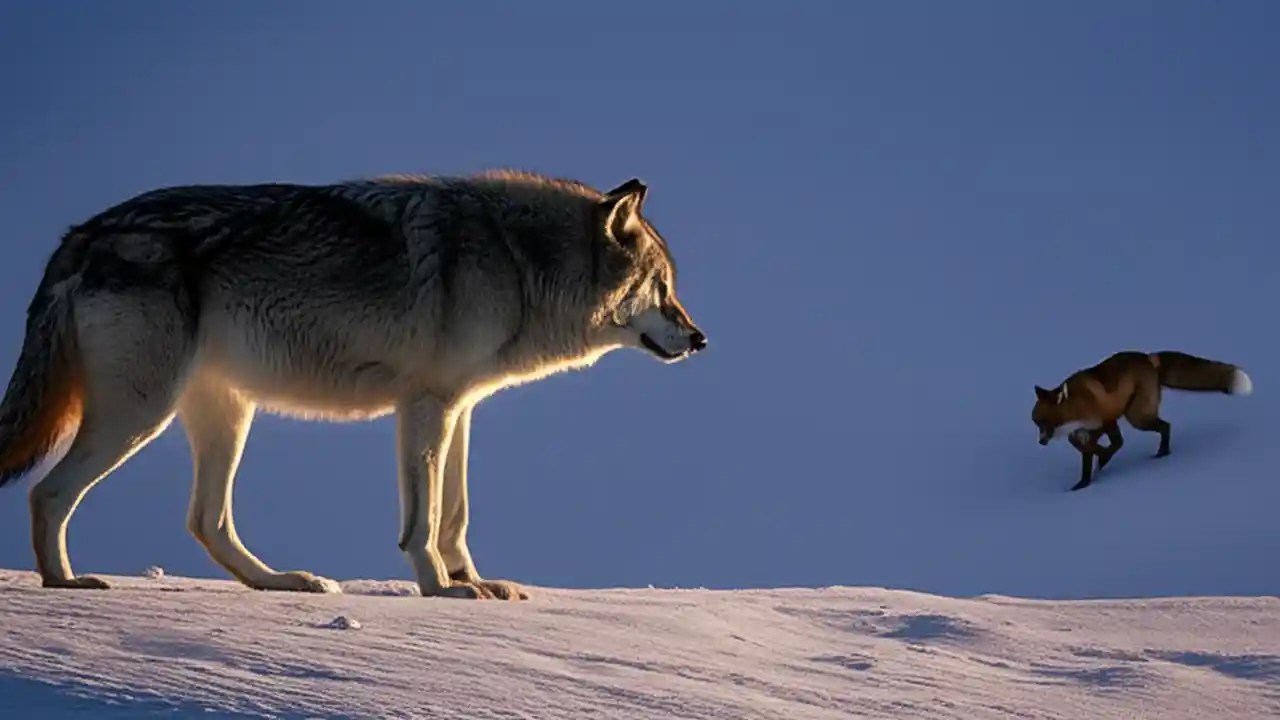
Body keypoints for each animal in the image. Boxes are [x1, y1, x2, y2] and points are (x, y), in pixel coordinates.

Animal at [0, 170, 707, 600]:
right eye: (663, 287)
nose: (700, 339)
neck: (517, 261)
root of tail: (81, 233)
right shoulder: (426, 406)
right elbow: (424, 521)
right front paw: (440, 589)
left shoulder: (459, 409)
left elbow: (456, 514)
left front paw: (473, 585)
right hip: (140, 414)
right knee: (47, 493)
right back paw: (65, 584)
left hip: (226, 417)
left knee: (206, 521)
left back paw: (281, 582)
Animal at [1032, 350, 1253, 491]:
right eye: (1037, 423)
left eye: (1045, 421)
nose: (1040, 442)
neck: (1076, 409)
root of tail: (1148, 357)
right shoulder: (1086, 431)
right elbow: (1088, 455)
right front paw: (1084, 483)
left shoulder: (1107, 418)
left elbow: (1115, 444)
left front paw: (1102, 459)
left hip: (1137, 417)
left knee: (1166, 426)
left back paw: (1163, 453)